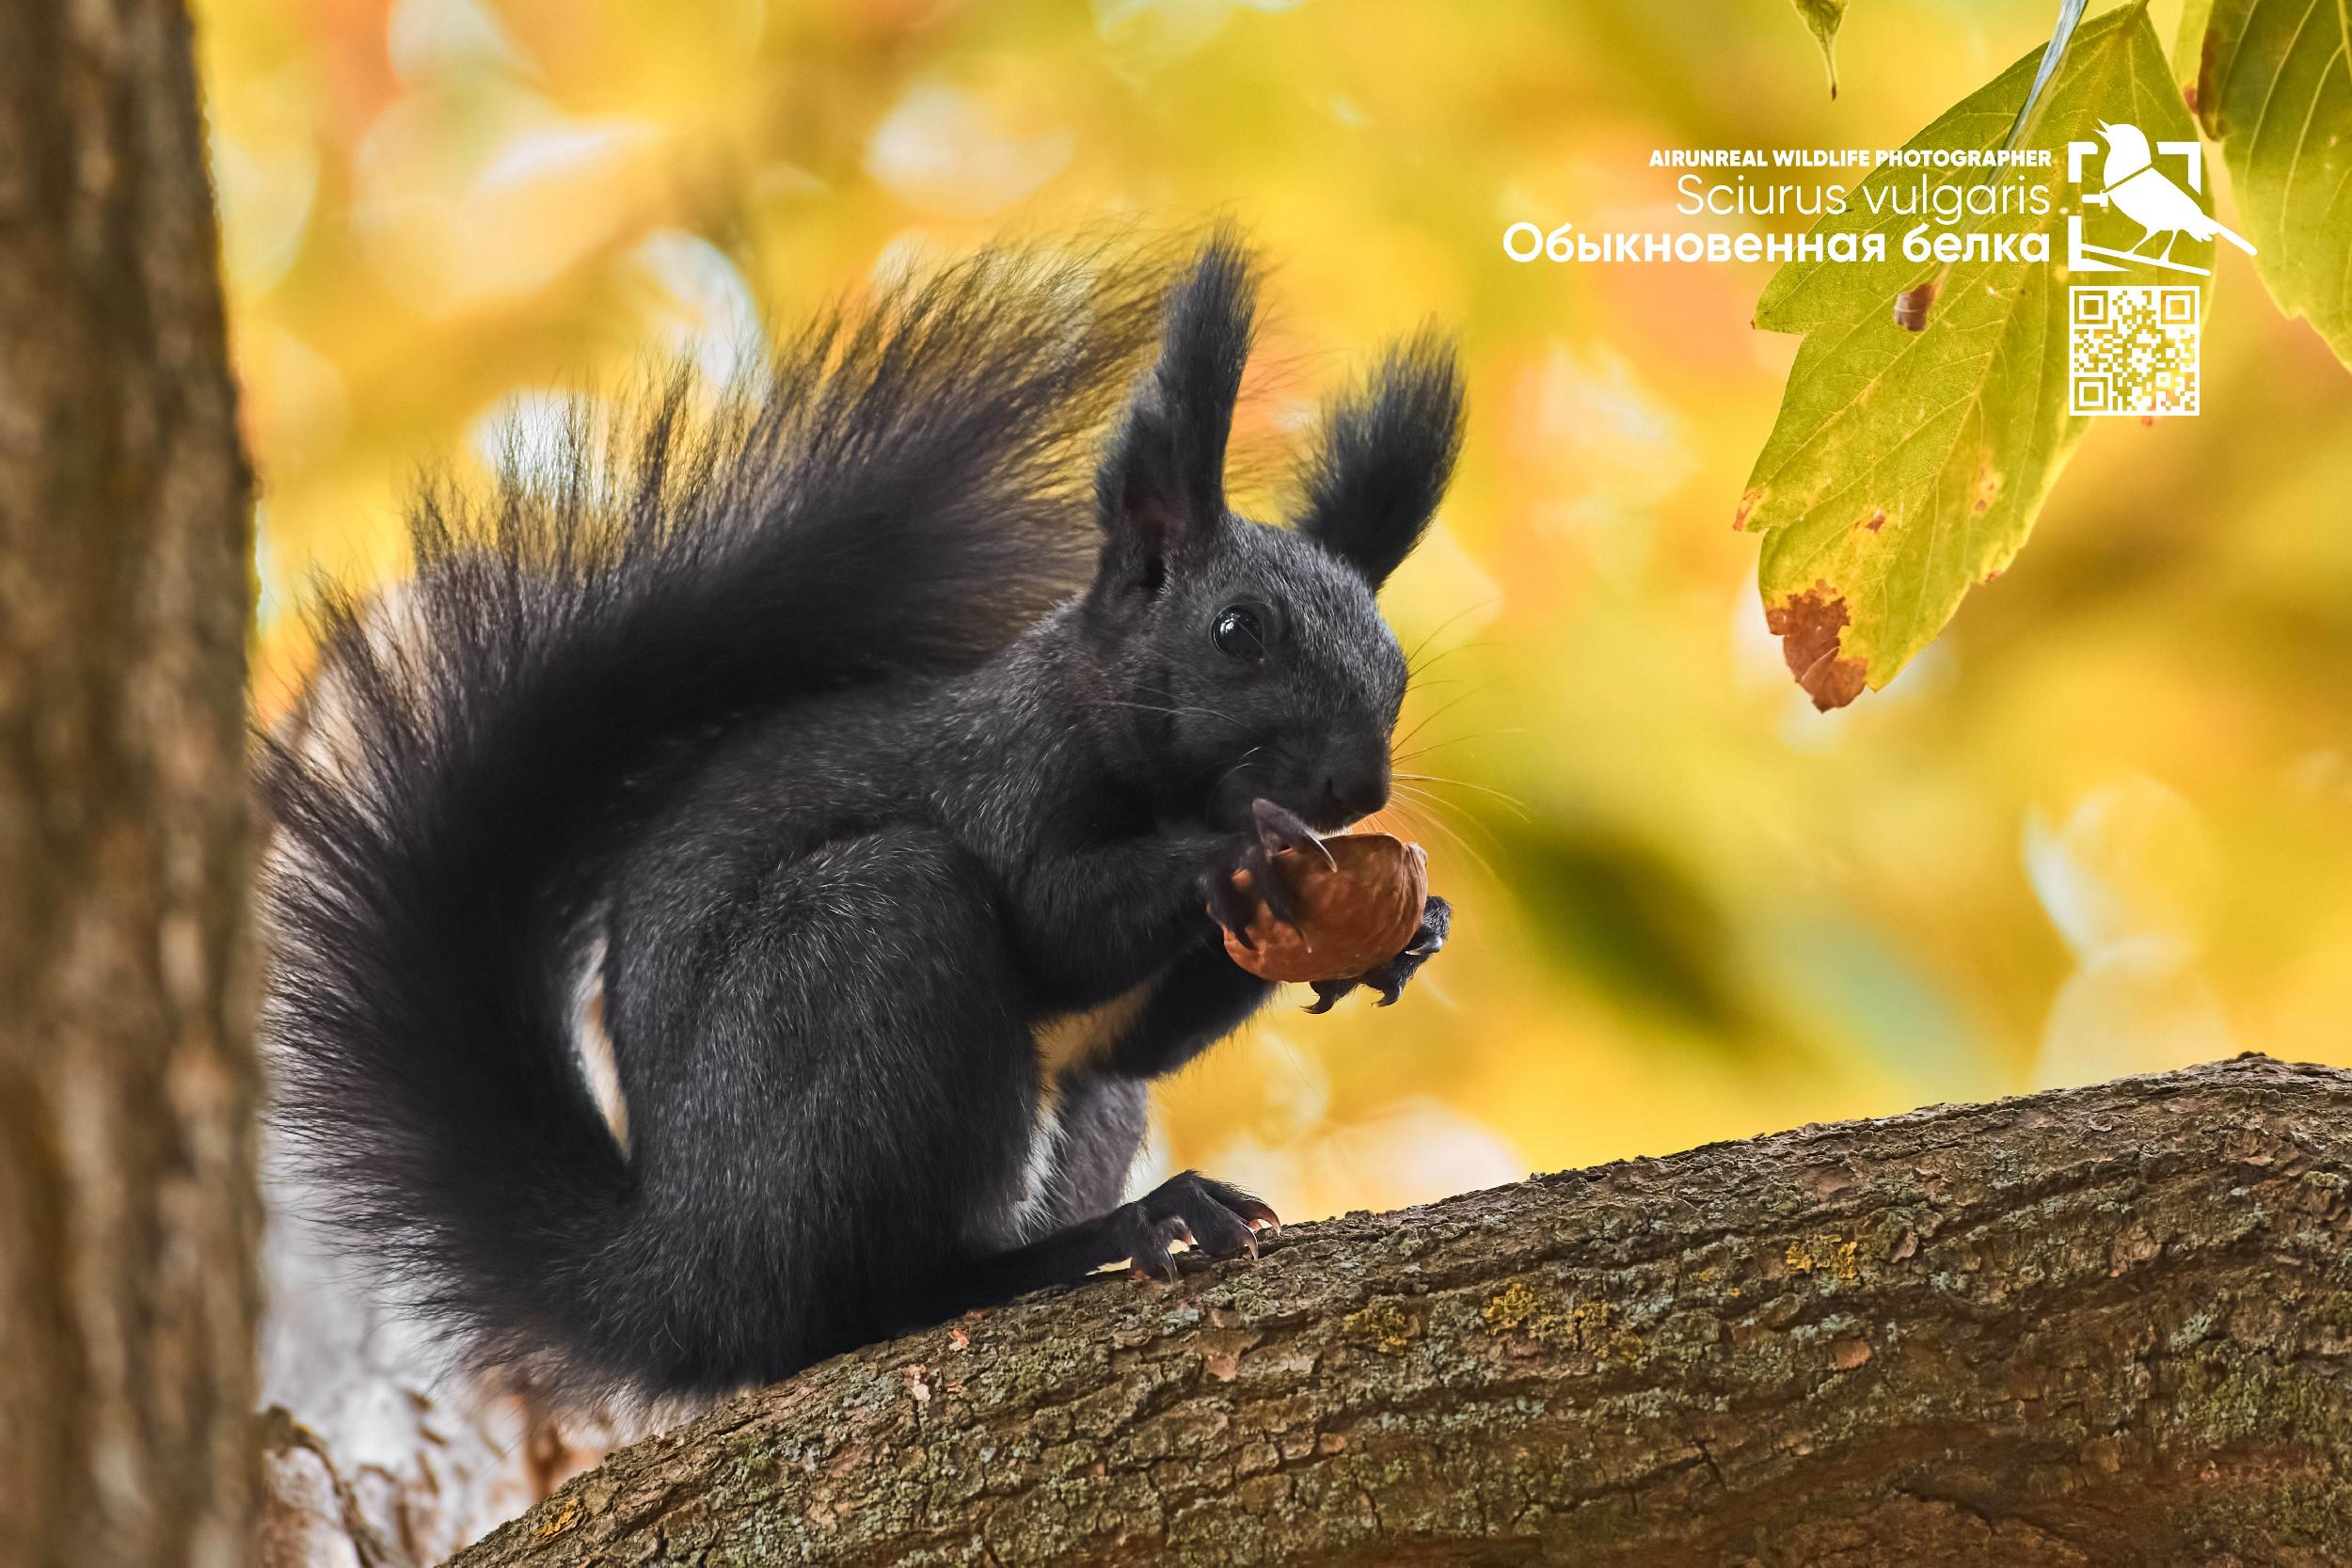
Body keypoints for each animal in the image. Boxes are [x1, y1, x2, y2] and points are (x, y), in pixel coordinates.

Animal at [260, 232, 1465, 1402]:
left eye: (1397, 667)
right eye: (1234, 630)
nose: (1356, 787)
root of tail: (683, 1279)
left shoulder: (1127, 1019)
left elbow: (1148, 1035)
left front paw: (1407, 928)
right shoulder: (1004, 771)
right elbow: (1057, 924)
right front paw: (1237, 849)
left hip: (1064, 1098)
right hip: (865, 953)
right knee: (884, 1292)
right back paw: (1119, 1227)